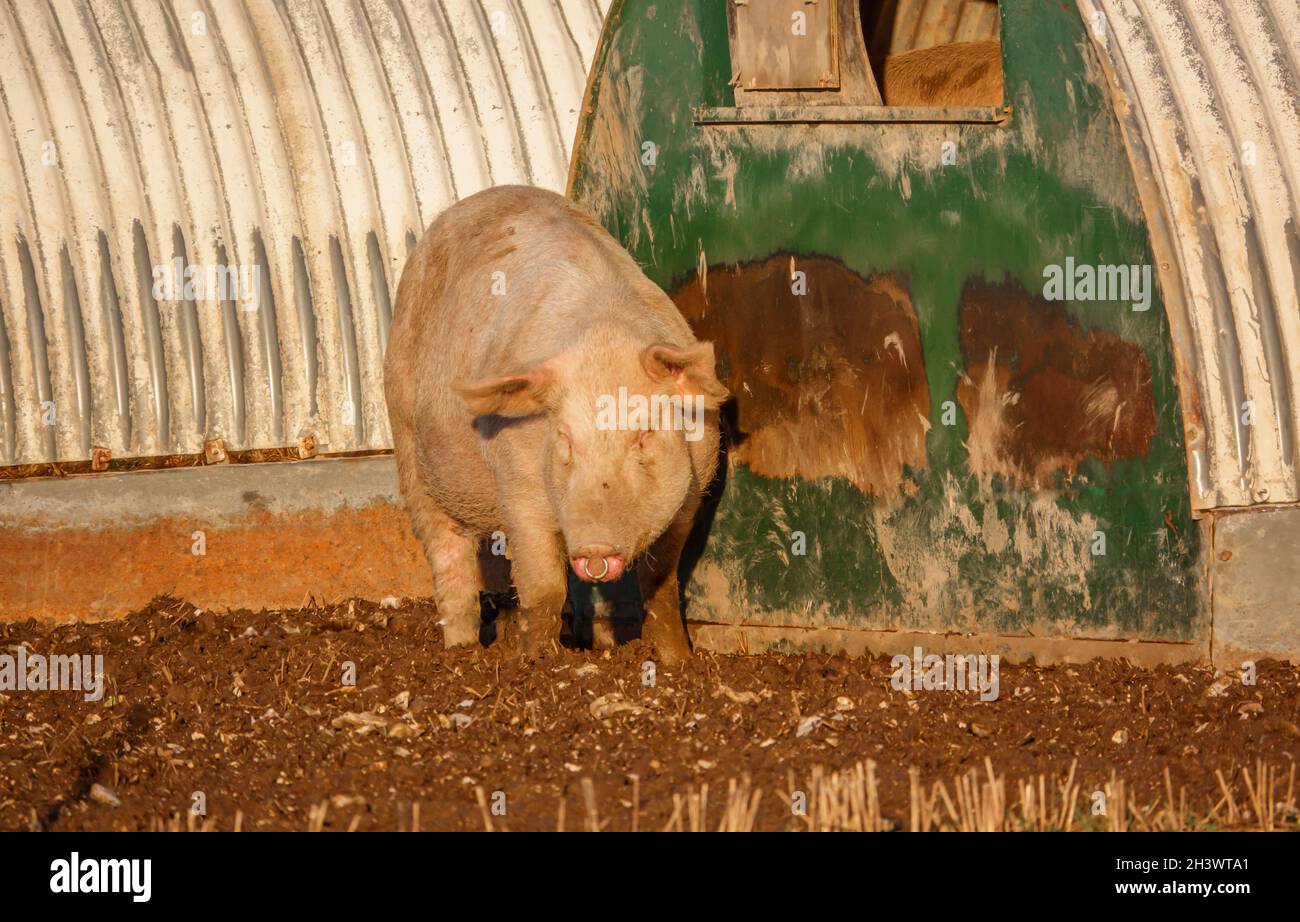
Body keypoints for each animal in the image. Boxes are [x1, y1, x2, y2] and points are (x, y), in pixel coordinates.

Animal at [384, 185, 728, 663]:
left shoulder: (693, 491)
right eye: (564, 438)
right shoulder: (516, 484)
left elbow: (660, 587)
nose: (595, 551)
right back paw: (462, 648)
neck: (604, 338)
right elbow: (543, 588)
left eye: (643, 434)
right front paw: (534, 663)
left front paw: (679, 662)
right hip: (405, 433)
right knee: (446, 549)